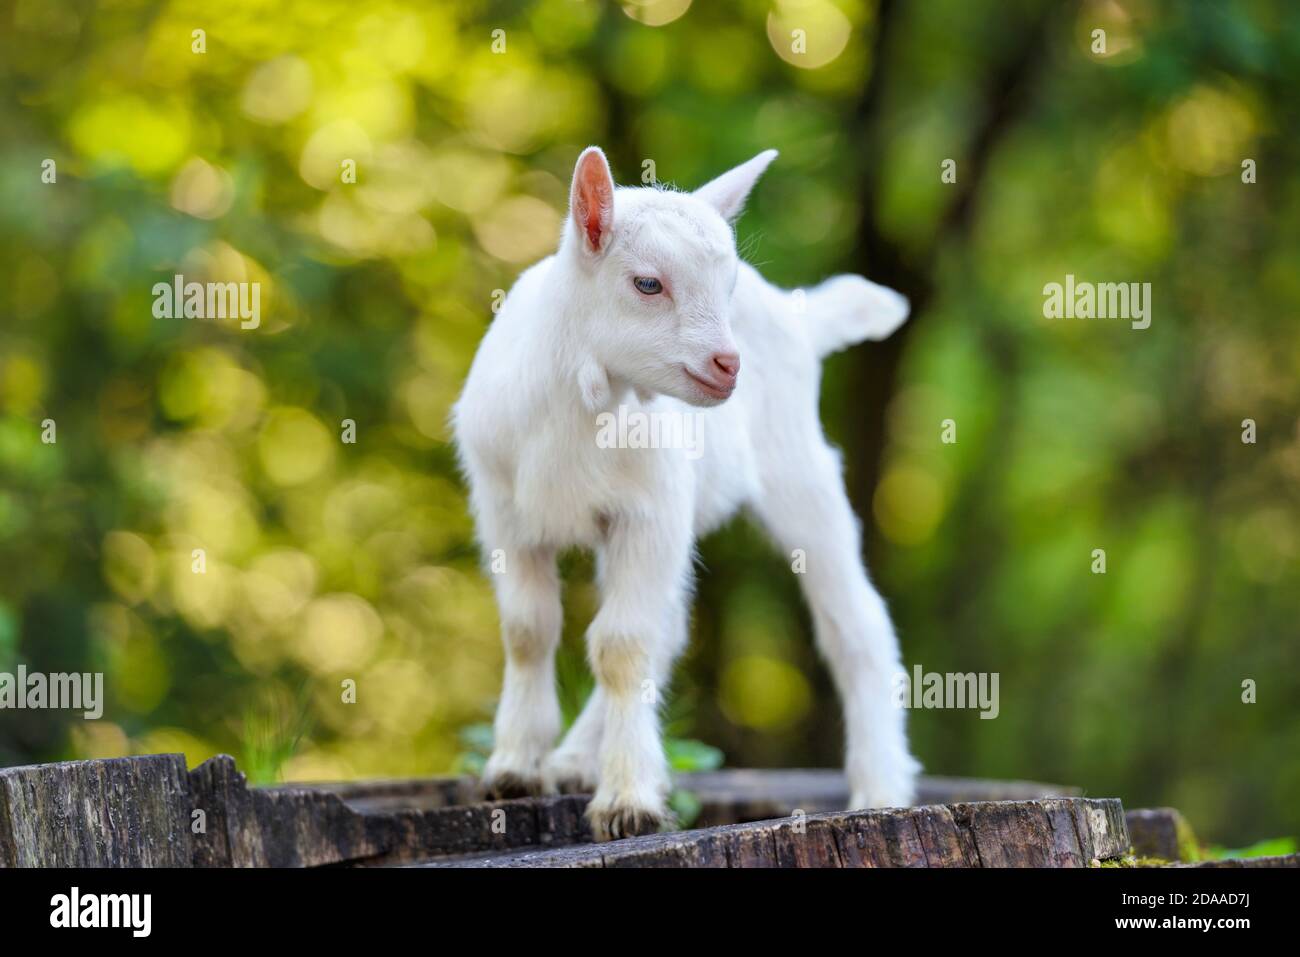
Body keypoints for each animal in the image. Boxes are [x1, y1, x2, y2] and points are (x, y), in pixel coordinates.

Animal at [452, 146, 919, 840]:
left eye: (727, 288)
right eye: (648, 284)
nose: (730, 364)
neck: (585, 403)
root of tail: (800, 319)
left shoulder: (650, 513)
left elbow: (622, 645)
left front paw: (628, 802)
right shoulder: (506, 515)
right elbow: (528, 631)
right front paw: (513, 769)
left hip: (798, 473)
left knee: (855, 624)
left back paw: (880, 787)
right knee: (668, 626)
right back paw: (572, 760)